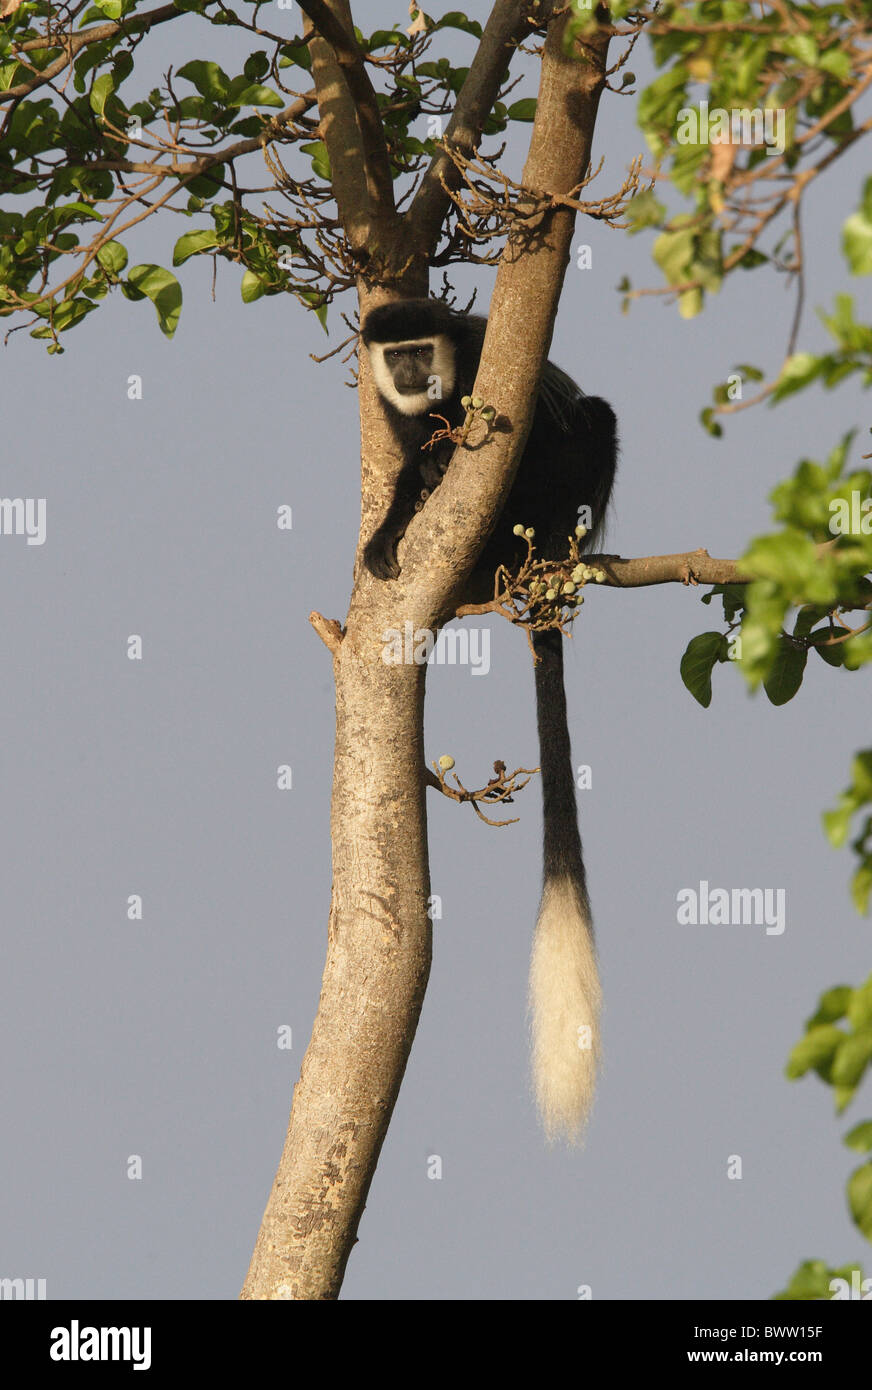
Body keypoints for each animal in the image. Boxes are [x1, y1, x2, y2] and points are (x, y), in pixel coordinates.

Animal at [361, 297, 618, 1143]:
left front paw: (442, 472)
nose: (414, 374)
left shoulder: (487, 367)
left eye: (423, 349)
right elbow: (406, 458)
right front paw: (391, 525)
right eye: (396, 357)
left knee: (590, 422)